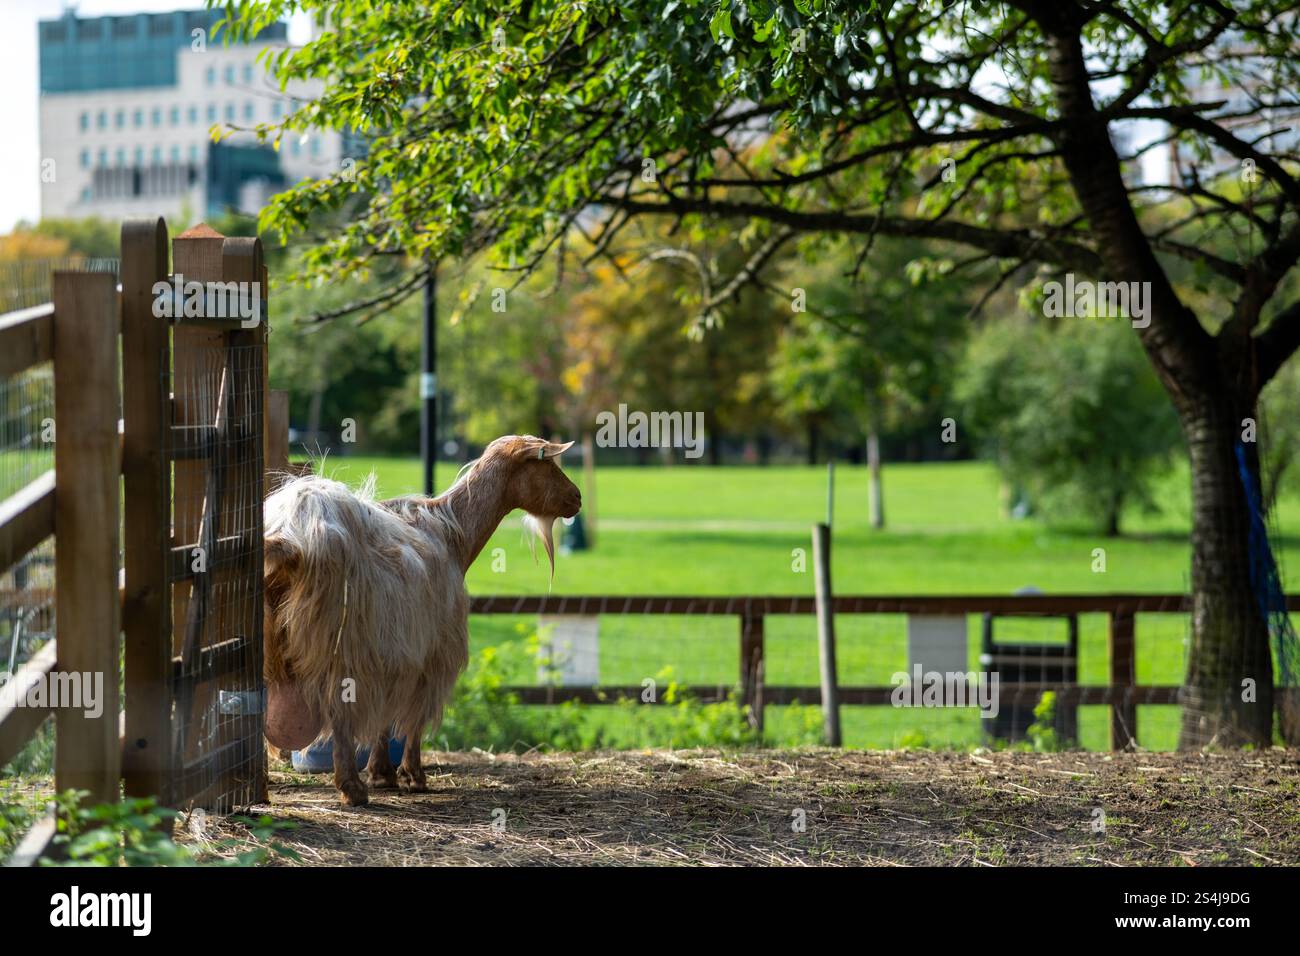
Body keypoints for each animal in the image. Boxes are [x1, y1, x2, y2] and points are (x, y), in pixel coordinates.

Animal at [263, 435, 582, 806]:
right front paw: (412, 776)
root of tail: (290, 535)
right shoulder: (432, 651)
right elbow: (413, 716)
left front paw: (382, 773)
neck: (452, 533)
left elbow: (386, 714)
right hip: (338, 637)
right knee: (339, 709)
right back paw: (351, 788)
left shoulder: (395, 649)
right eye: (546, 463)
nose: (577, 499)